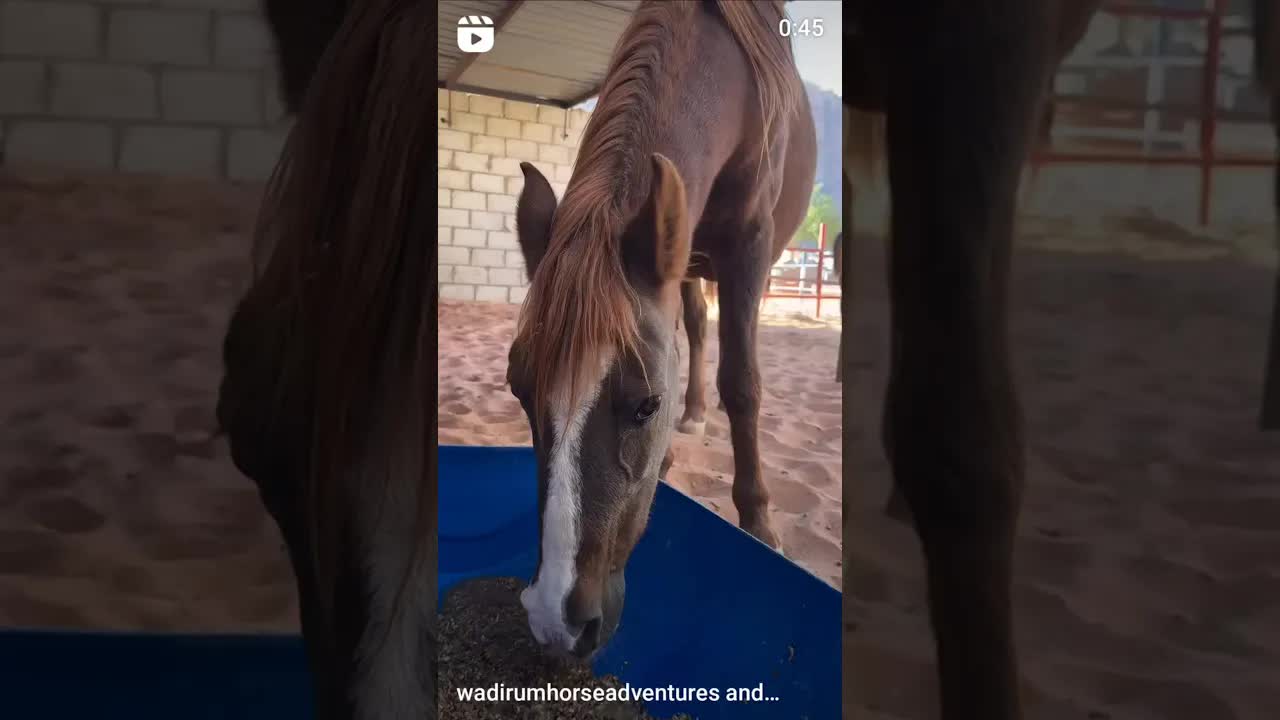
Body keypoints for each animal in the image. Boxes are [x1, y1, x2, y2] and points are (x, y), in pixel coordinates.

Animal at [507, 0, 815, 658]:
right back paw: (690, 419)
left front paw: (759, 522)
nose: (554, 621)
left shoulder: (750, 248)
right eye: (519, 390)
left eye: (647, 404)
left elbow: (742, 383)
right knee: (693, 327)